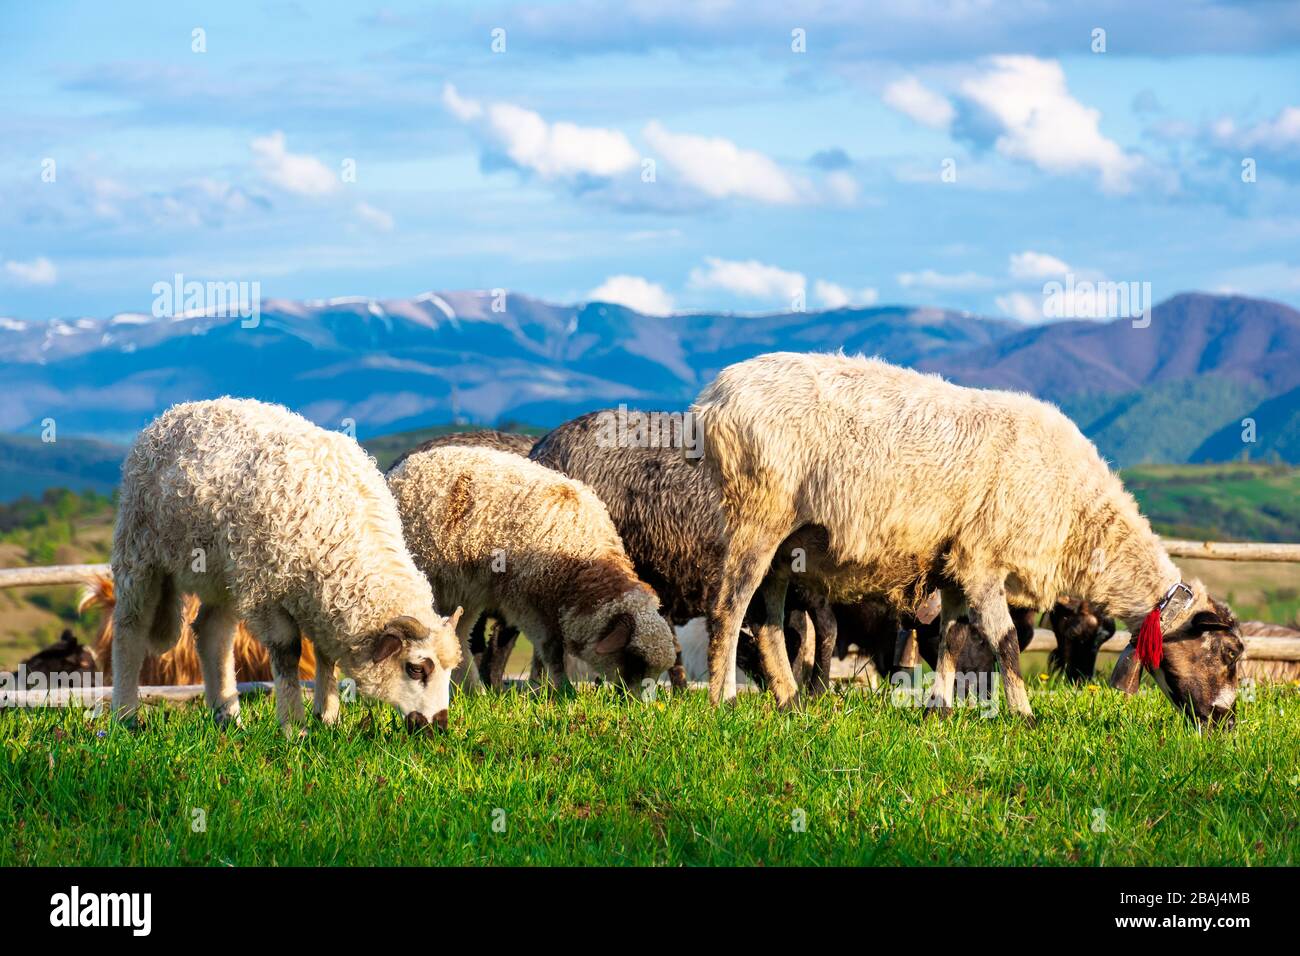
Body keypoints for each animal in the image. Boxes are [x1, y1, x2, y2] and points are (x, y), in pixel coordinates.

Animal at [111, 398, 461, 734]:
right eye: (416, 668)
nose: (439, 727)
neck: (343, 526)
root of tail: (175, 412)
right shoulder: (265, 591)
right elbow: (287, 651)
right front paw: (295, 726)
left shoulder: (322, 595)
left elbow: (325, 654)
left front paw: (327, 716)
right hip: (139, 549)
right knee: (131, 628)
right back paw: (126, 717)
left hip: (225, 573)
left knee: (212, 633)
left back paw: (228, 718)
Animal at [386, 445, 678, 691]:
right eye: (634, 659)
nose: (635, 704)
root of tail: (402, 468)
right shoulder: (525, 600)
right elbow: (552, 651)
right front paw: (564, 691)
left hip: (459, 591)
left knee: (456, 633)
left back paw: (474, 691)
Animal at [690, 352, 1243, 725]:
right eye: (1230, 654)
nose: (1227, 723)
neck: (1080, 515)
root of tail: (713, 397)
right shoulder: (982, 561)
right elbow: (1005, 641)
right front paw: (1023, 714)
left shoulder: (955, 563)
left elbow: (954, 637)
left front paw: (940, 707)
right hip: (756, 517)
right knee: (728, 608)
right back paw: (724, 700)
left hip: (788, 548)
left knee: (767, 622)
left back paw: (788, 701)